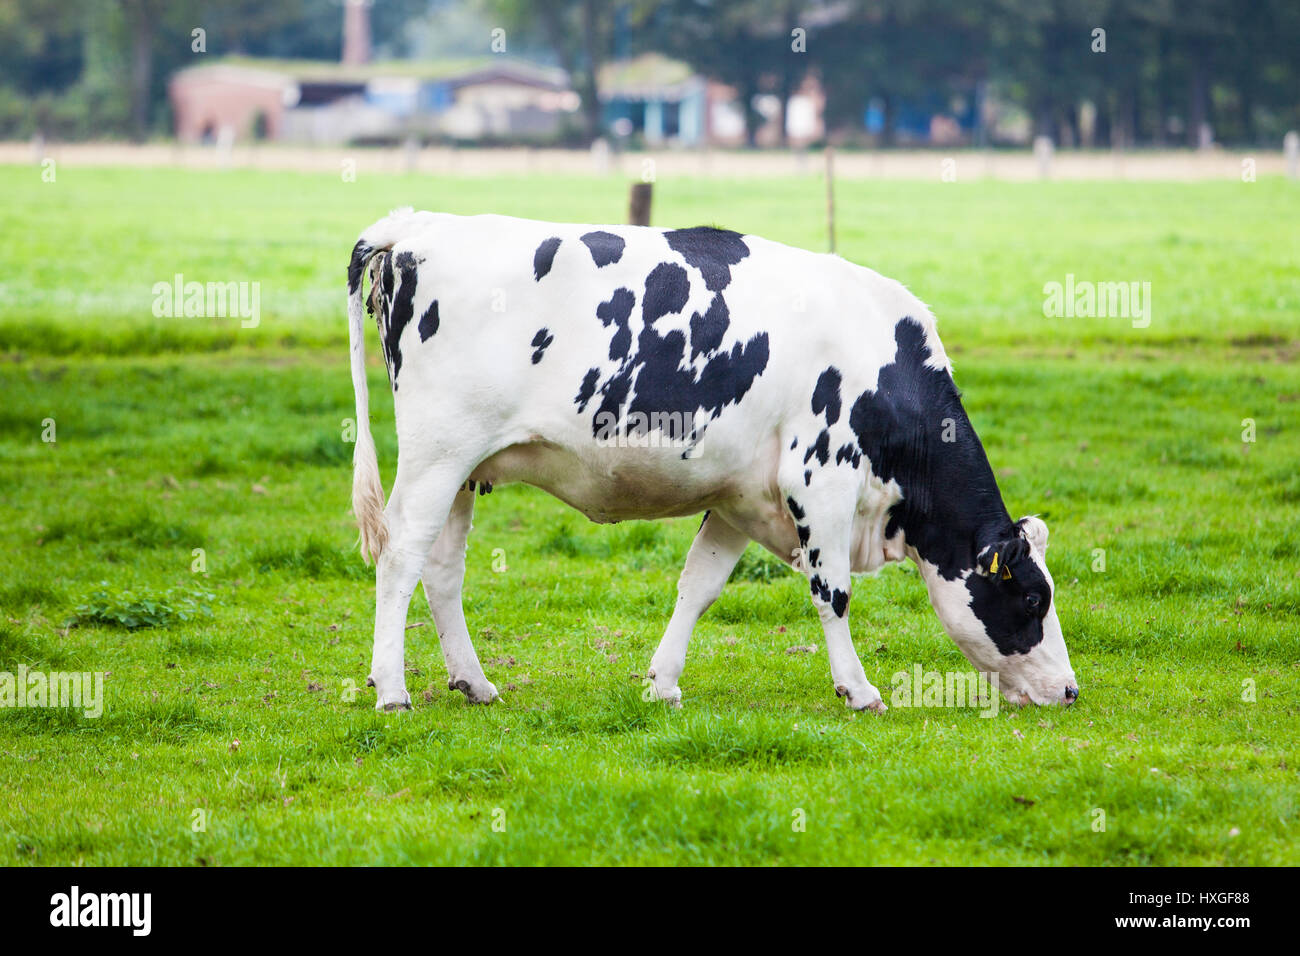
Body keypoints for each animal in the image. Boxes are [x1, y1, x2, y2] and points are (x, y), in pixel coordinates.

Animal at [344, 208, 1079, 713]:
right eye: (1033, 596)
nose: (1071, 690)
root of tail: (415, 226)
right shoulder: (821, 479)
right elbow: (833, 591)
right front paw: (859, 689)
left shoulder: (738, 496)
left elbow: (699, 585)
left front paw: (663, 683)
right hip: (438, 454)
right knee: (402, 556)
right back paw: (391, 690)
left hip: (465, 470)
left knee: (442, 569)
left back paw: (474, 681)